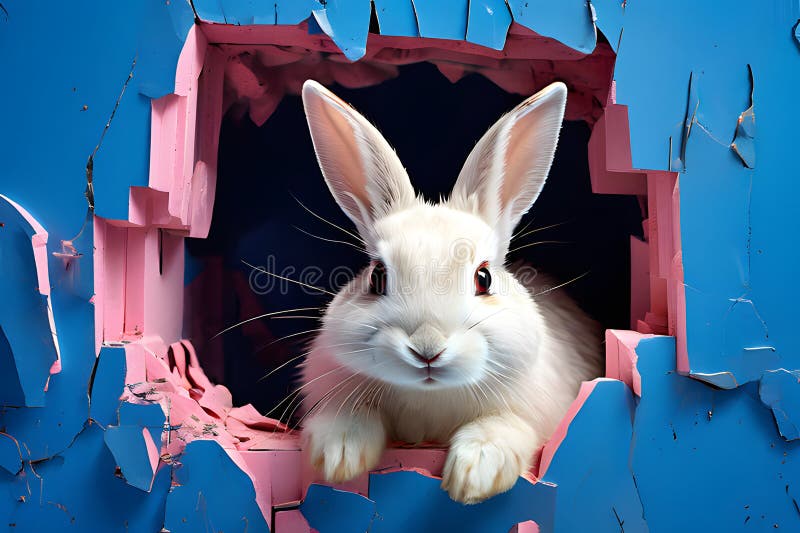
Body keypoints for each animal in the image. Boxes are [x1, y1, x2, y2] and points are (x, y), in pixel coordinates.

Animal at [298, 79, 603, 504]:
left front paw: (473, 476)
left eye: (484, 278)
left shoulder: (533, 410)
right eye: (377, 277)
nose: (427, 348)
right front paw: (338, 457)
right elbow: (349, 416)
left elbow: (504, 428)